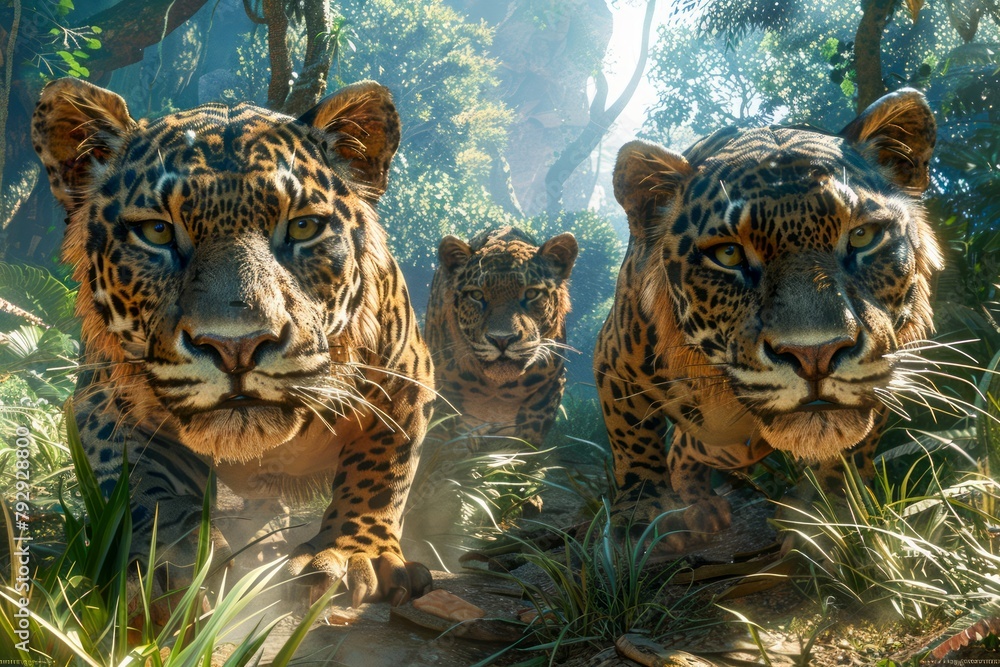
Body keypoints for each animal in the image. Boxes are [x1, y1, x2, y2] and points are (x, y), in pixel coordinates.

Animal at [32, 77, 435, 607]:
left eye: (304, 226)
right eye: (156, 231)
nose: (236, 347)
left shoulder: (405, 380)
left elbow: (380, 472)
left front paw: (351, 554)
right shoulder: (101, 402)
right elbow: (141, 483)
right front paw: (175, 558)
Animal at [593, 88, 943, 549]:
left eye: (863, 236)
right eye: (728, 254)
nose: (815, 355)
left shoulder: (889, 364)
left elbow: (853, 445)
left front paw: (834, 512)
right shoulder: (614, 362)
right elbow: (632, 442)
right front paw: (643, 517)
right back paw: (698, 508)